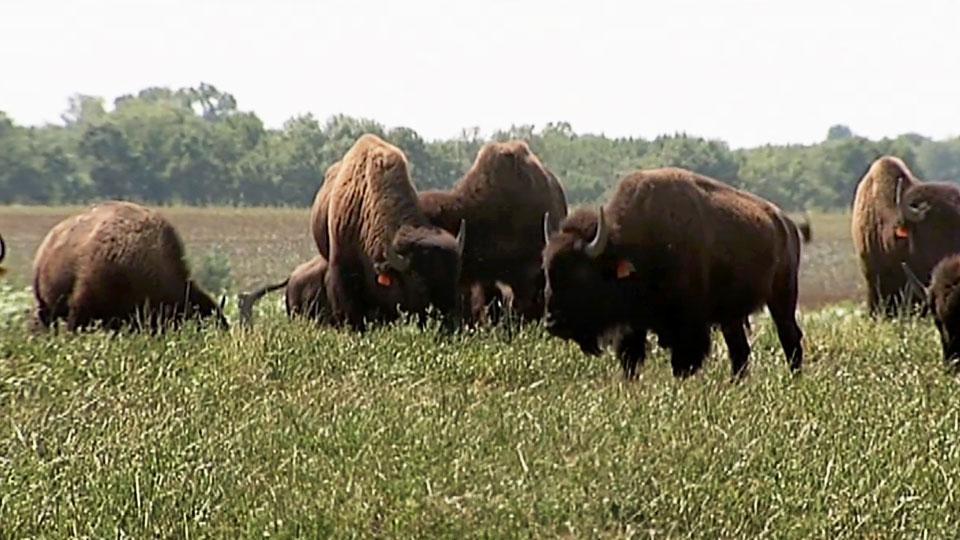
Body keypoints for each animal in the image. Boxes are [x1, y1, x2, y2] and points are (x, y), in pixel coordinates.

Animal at [542, 168, 804, 379]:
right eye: (547, 271)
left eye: (581, 274)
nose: (552, 322)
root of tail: (786, 224)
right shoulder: (634, 325)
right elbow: (631, 359)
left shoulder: (688, 327)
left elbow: (683, 362)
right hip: (731, 316)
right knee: (740, 351)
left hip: (782, 298)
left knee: (789, 337)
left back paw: (793, 379)